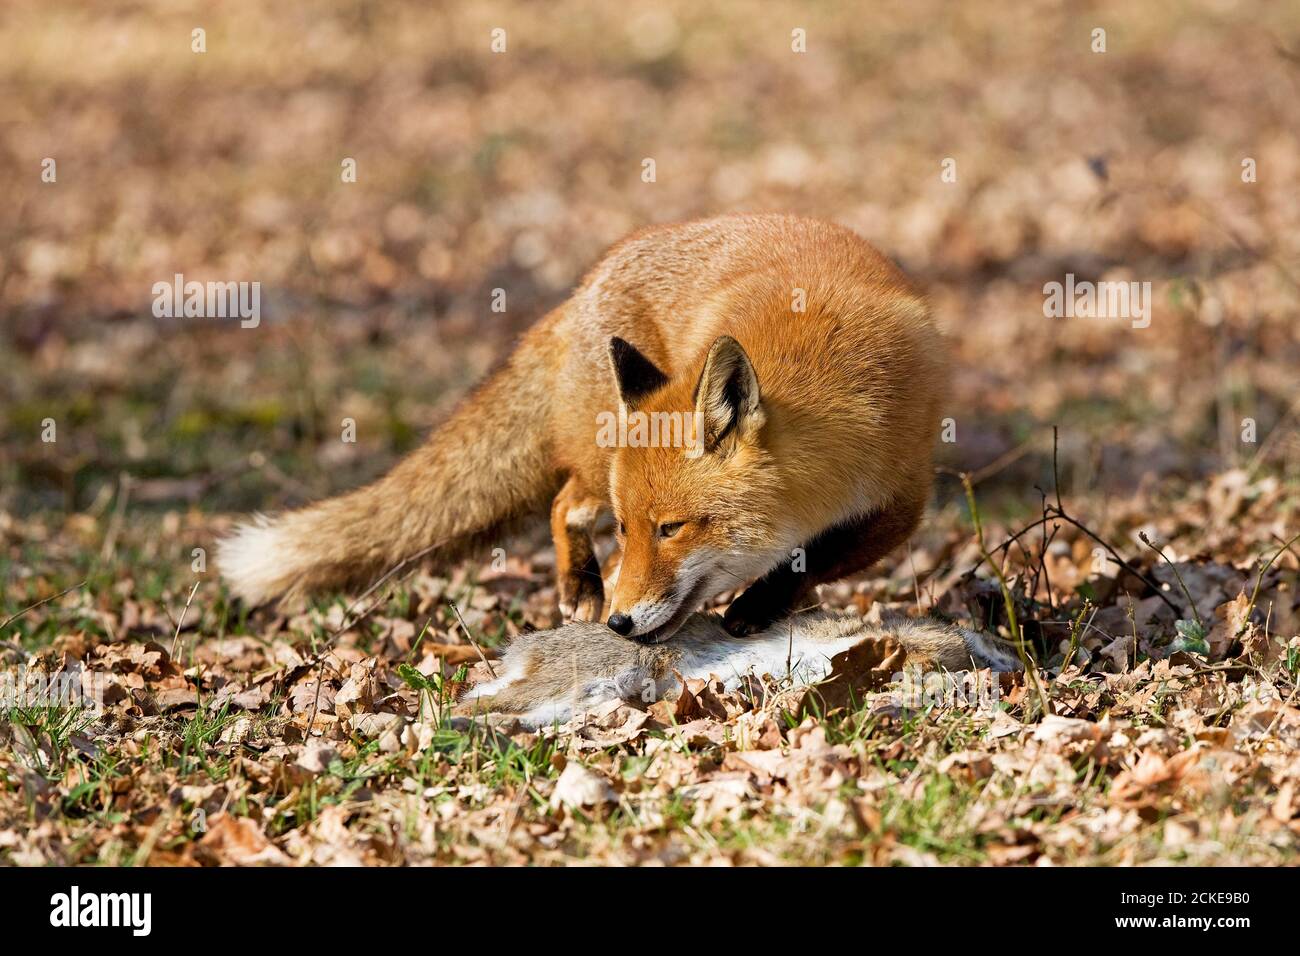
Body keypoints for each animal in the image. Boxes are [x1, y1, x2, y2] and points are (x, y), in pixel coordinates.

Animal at [219, 213, 948, 642]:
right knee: (563, 501)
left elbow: (818, 556)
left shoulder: (901, 500)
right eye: (629, 530)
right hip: (601, 459)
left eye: (671, 529)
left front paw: (762, 602)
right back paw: (577, 588)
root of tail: (583, 285)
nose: (621, 623)